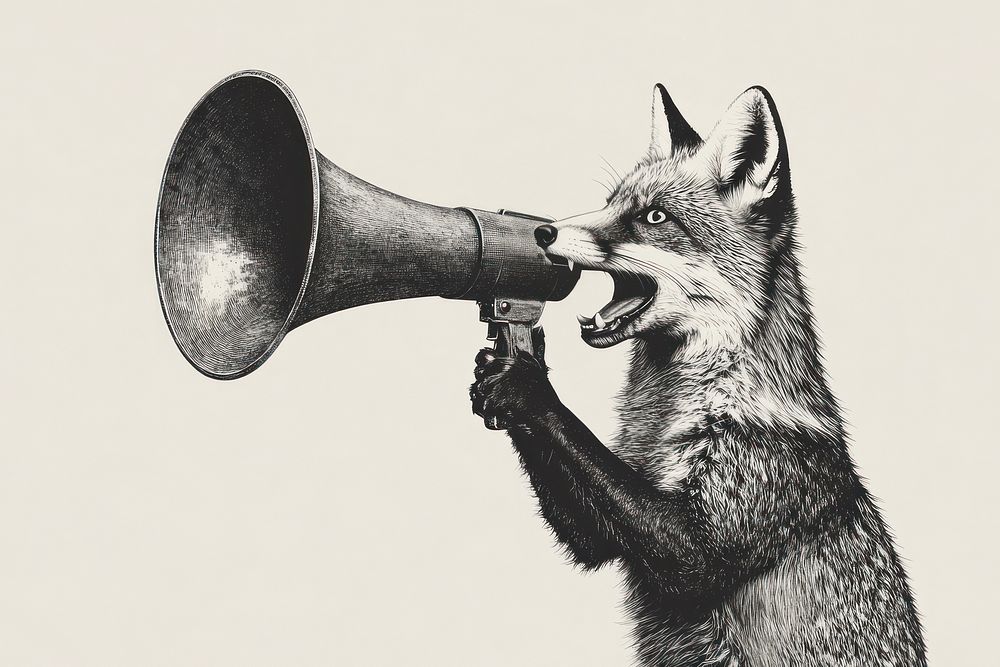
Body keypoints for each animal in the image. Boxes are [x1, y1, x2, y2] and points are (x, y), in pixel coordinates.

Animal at [470, 84, 926, 666]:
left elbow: (683, 556)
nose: (543, 232)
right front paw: (503, 373)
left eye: (655, 217)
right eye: (612, 203)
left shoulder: (708, 539)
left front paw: (526, 385)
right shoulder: (602, 531)